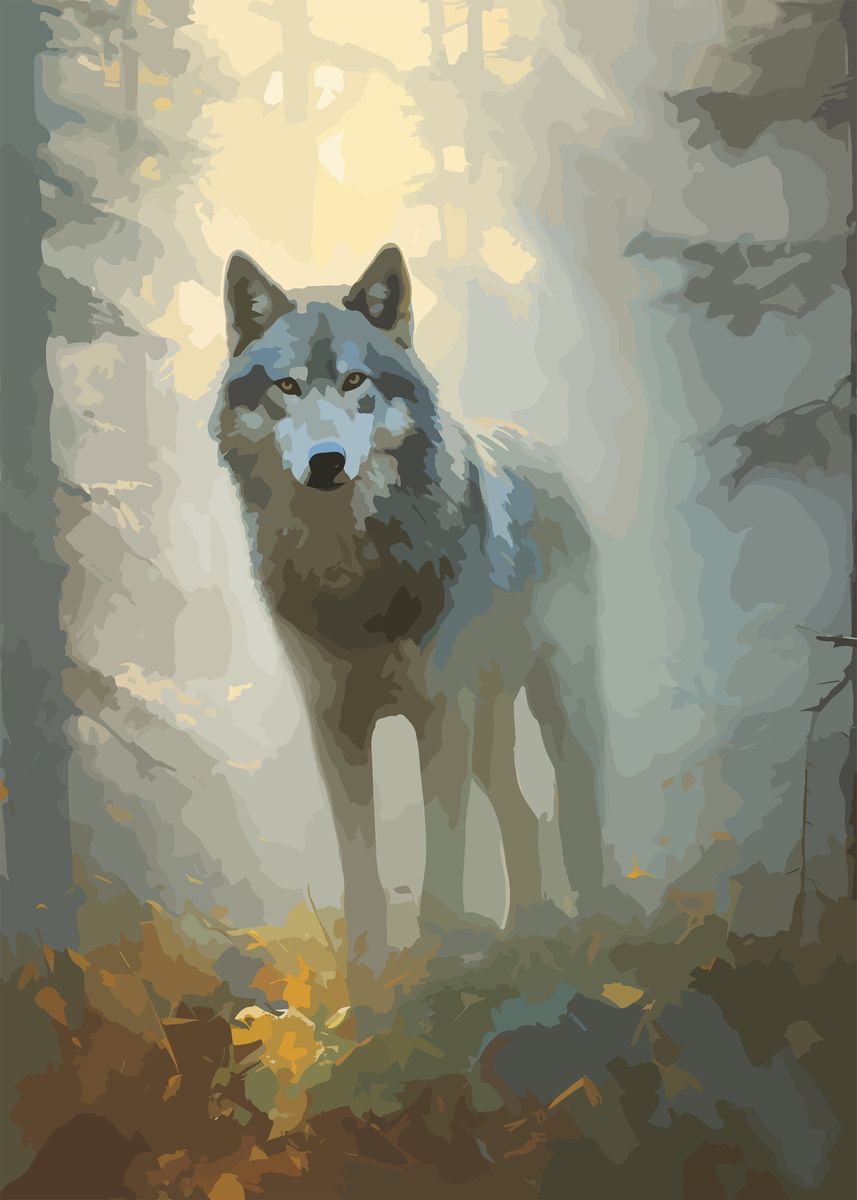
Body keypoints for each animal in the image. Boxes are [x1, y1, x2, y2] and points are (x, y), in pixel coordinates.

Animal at [215, 245, 610, 979]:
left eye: (354, 381)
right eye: (287, 387)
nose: (326, 462)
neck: (352, 575)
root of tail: (535, 446)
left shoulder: (440, 715)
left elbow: (443, 857)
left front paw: (437, 959)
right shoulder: (335, 726)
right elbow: (361, 870)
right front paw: (364, 980)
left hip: (556, 706)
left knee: (577, 806)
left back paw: (602, 925)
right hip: (489, 728)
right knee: (521, 813)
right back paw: (531, 930)